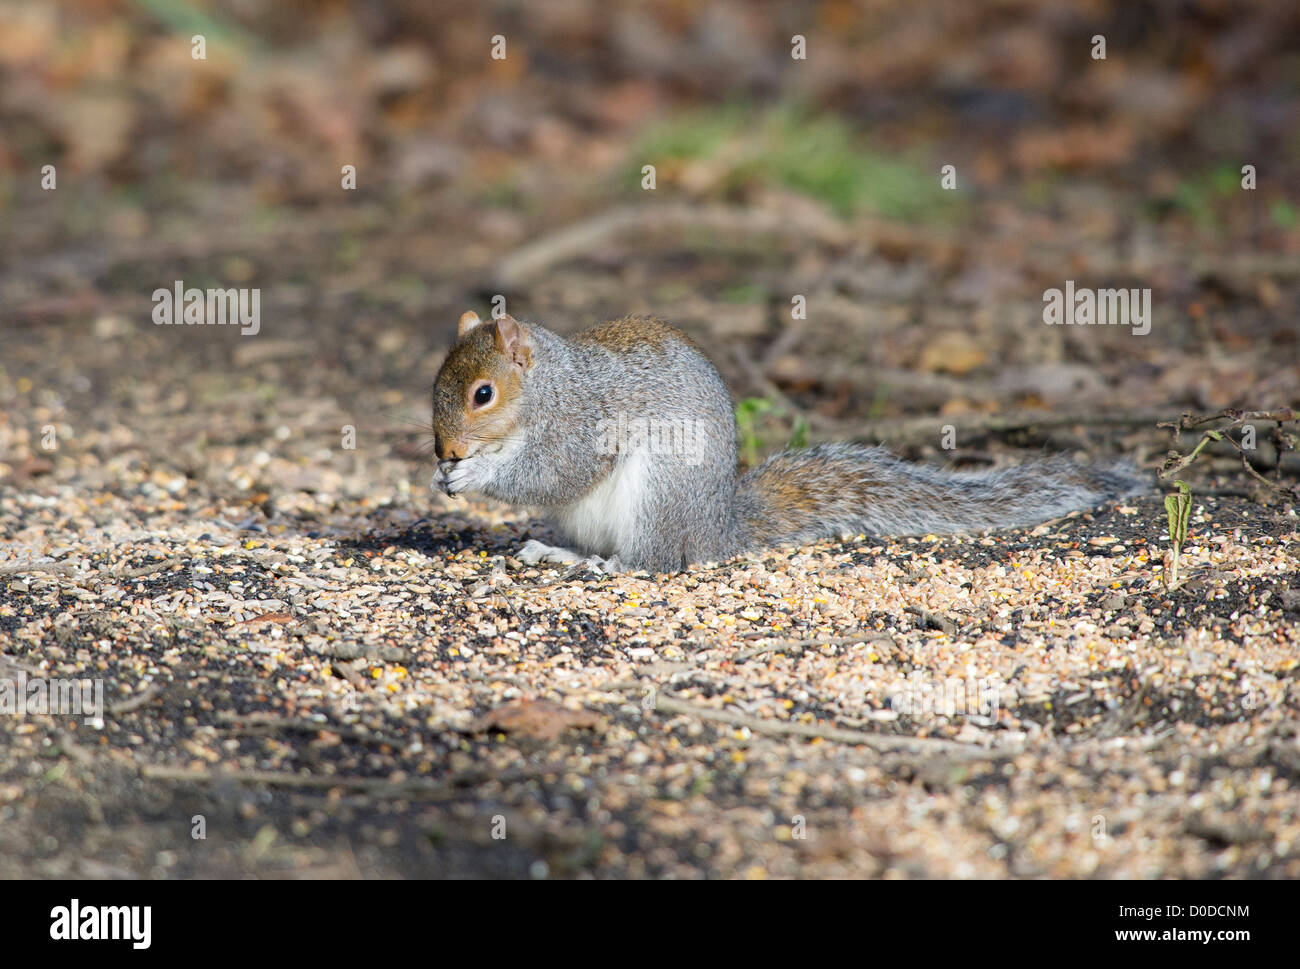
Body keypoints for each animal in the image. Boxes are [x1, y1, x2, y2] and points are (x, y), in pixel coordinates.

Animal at [431, 311, 1146, 573]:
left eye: (482, 394)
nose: (444, 452)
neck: (548, 388)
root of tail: (716, 530)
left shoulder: (585, 421)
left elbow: (557, 471)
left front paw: (477, 478)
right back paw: (556, 551)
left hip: (657, 498)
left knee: (651, 563)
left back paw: (601, 566)